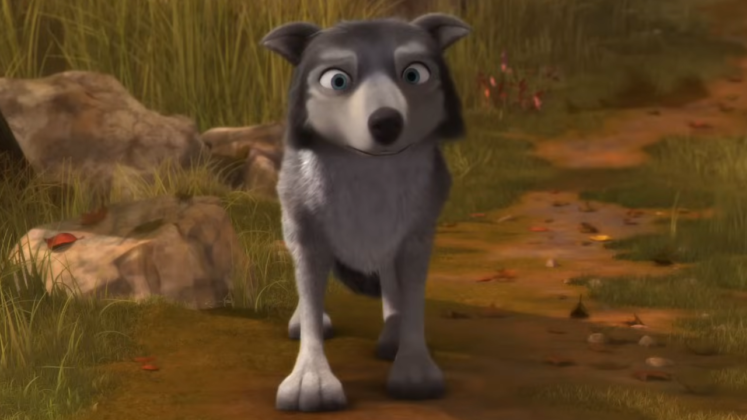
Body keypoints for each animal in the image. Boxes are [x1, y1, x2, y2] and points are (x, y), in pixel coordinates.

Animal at [260, 13, 470, 412]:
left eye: (414, 74)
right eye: (337, 80)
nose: (386, 122)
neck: (370, 171)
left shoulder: (416, 234)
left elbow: (412, 296)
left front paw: (413, 367)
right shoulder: (305, 228)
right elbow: (310, 295)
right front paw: (310, 379)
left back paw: (392, 331)